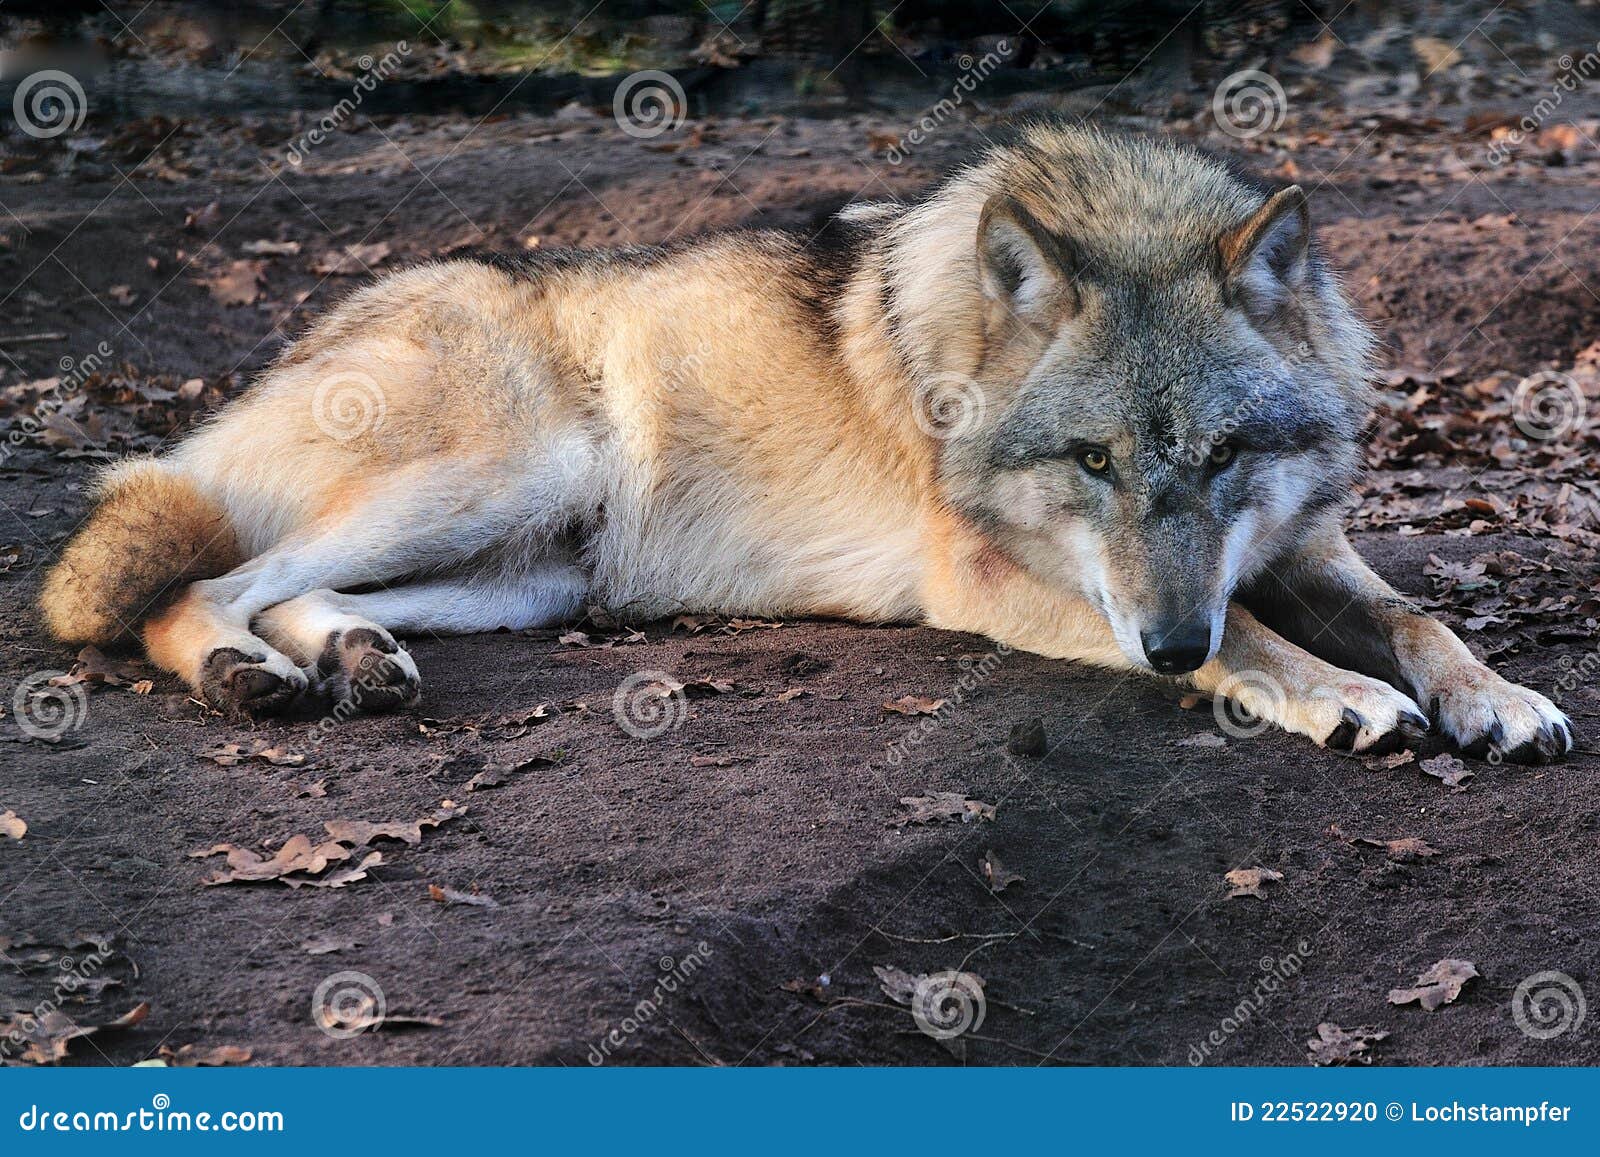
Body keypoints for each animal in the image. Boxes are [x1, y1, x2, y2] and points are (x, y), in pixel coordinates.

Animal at [39, 122, 1572, 761]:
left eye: (1220, 459)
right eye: (1091, 462)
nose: (1166, 644)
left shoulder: (1297, 541)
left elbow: (1423, 619)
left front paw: (1495, 698)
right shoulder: (994, 581)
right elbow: (1264, 640)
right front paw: (1333, 691)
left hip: (537, 578)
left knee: (297, 591)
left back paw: (354, 659)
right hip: (507, 474)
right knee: (195, 586)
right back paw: (244, 675)